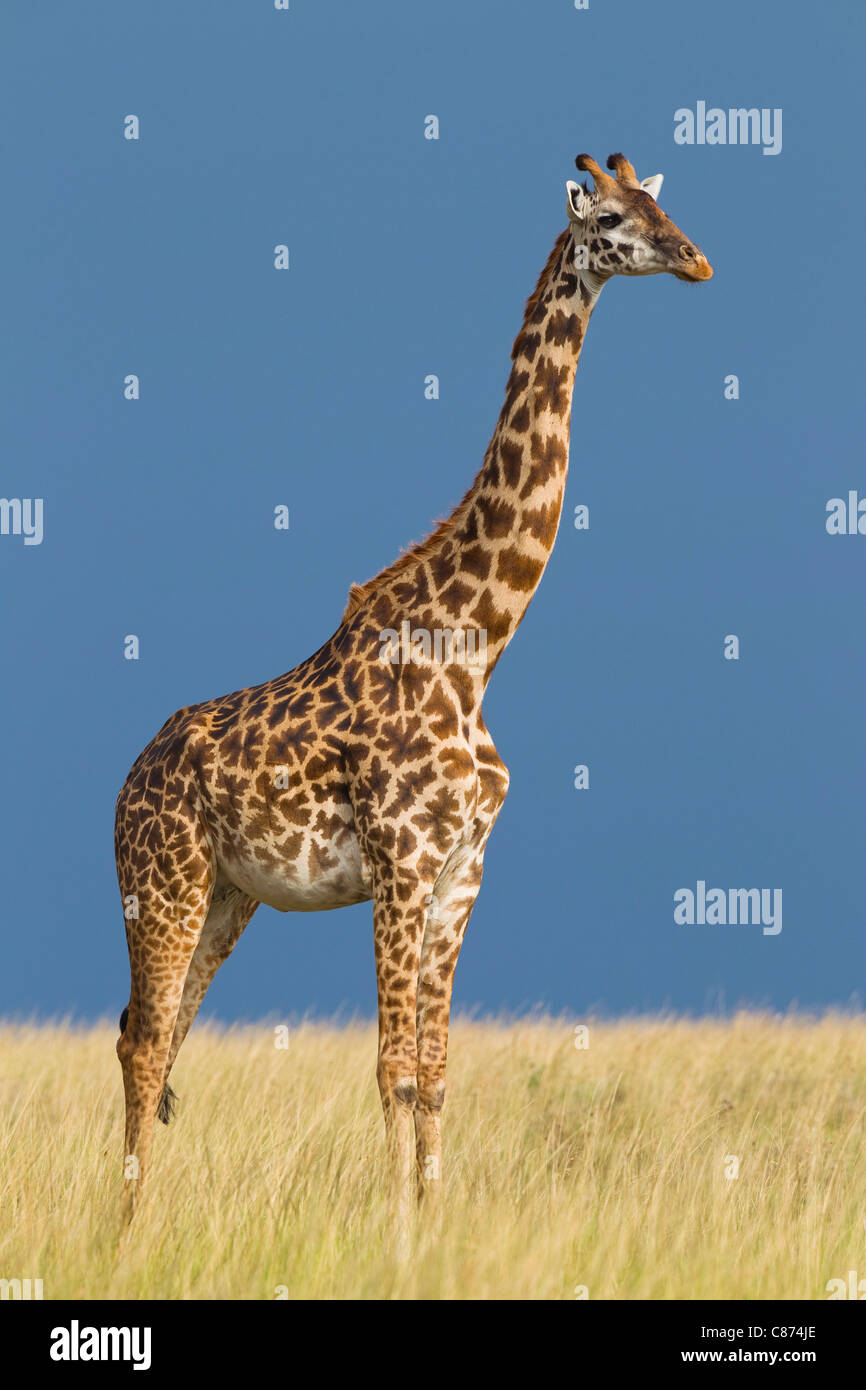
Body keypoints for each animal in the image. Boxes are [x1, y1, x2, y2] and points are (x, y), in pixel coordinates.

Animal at [115, 152, 712, 1230]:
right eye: (609, 220)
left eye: (662, 204)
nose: (696, 259)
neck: (474, 648)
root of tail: (125, 784)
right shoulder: (401, 861)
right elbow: (391, 1067)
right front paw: (396, 1232)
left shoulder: (461, 870)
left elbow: (433, 1070)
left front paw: (433, 1222)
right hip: (161, 882)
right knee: (144, 1042)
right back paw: (129, 1227)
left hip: (228, 895)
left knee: (159, 1033)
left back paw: (146, 1213)